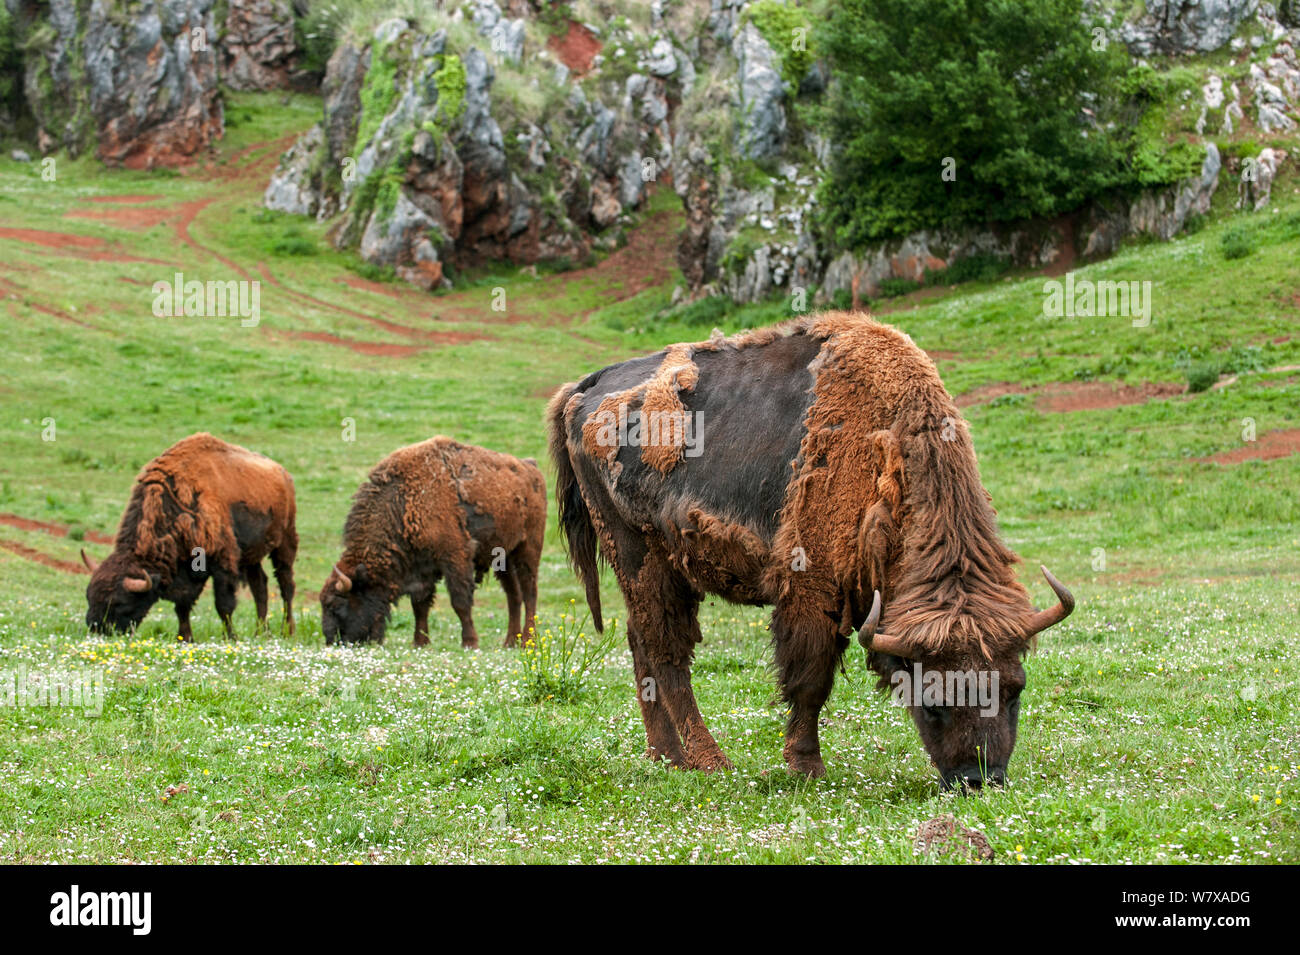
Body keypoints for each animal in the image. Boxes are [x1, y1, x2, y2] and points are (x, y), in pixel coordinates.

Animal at [84, 433, 298, 641]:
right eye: (89, 596)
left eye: (118, 602)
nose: (96, 627)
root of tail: (284, 474)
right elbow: (182, 606)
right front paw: (185, 637)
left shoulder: (223, 563)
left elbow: (223, 604)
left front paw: (230, 637)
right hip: (251, 556)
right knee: (260, 587)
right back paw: (261, 632)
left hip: (285, 542)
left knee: (286, 585)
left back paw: (287, 631)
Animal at [320, 437, 545, 649]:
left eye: (335, 605)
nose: (332, 641)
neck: (404, 502)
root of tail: (531, 468)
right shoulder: (421, 569)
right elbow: (420, 605)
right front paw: (420, 642)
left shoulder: (455, 558)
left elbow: (460, 602)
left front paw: (469, 642)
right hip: (502, 557)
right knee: (514, 596)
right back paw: (510, 642)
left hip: (528, 550)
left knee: (530, 593)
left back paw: (527, 641)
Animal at [549, 313, 1074, 787]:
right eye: (932, 699)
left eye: (1015, 689)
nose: (979, 778)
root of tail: (584, 390)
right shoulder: (811, 588)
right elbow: (810, 680)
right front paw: (806, 766)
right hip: (639, 555)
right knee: (666, 653)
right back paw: (711, 761)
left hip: (658, 571)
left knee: (643, 644)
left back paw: (668, 757)